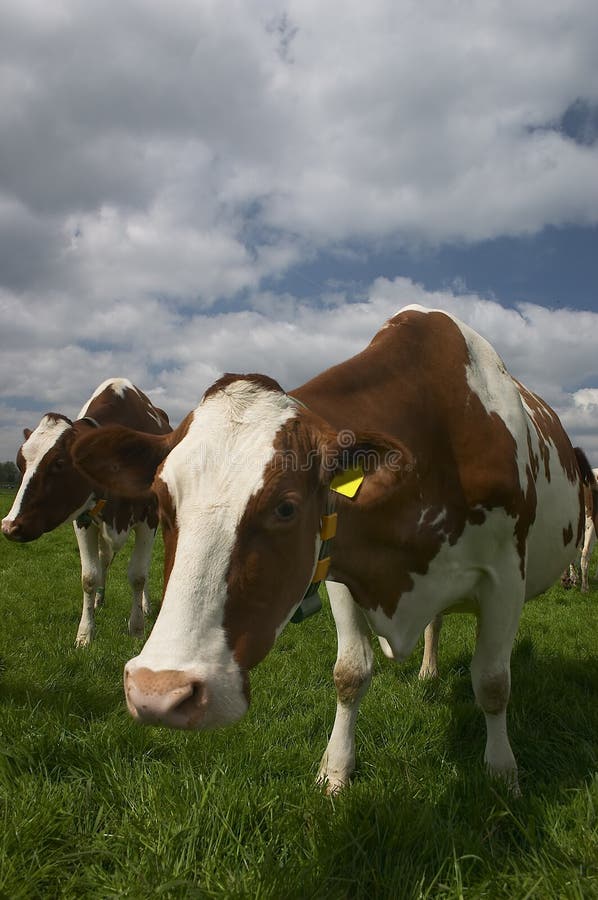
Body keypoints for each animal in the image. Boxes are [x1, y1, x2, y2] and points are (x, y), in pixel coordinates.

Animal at [1, 378, 172, 646]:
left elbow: (138, 575)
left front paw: (136, 629)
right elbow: (89, 577)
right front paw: (85, 634)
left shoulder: (149, 519)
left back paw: (145, 606)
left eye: (59, 462)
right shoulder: (82, 519)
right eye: (20, 464)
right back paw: (100, 600)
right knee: (104, 560)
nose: (9, 526)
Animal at [71, 307, 589, 794]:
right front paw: (336, 770)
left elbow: (493, 683)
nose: (158, 691)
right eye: (161, 500)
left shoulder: (505, 579)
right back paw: (428, 671)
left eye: (286, 507)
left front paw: (503, 774)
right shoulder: (340, 566)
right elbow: (350, 674)